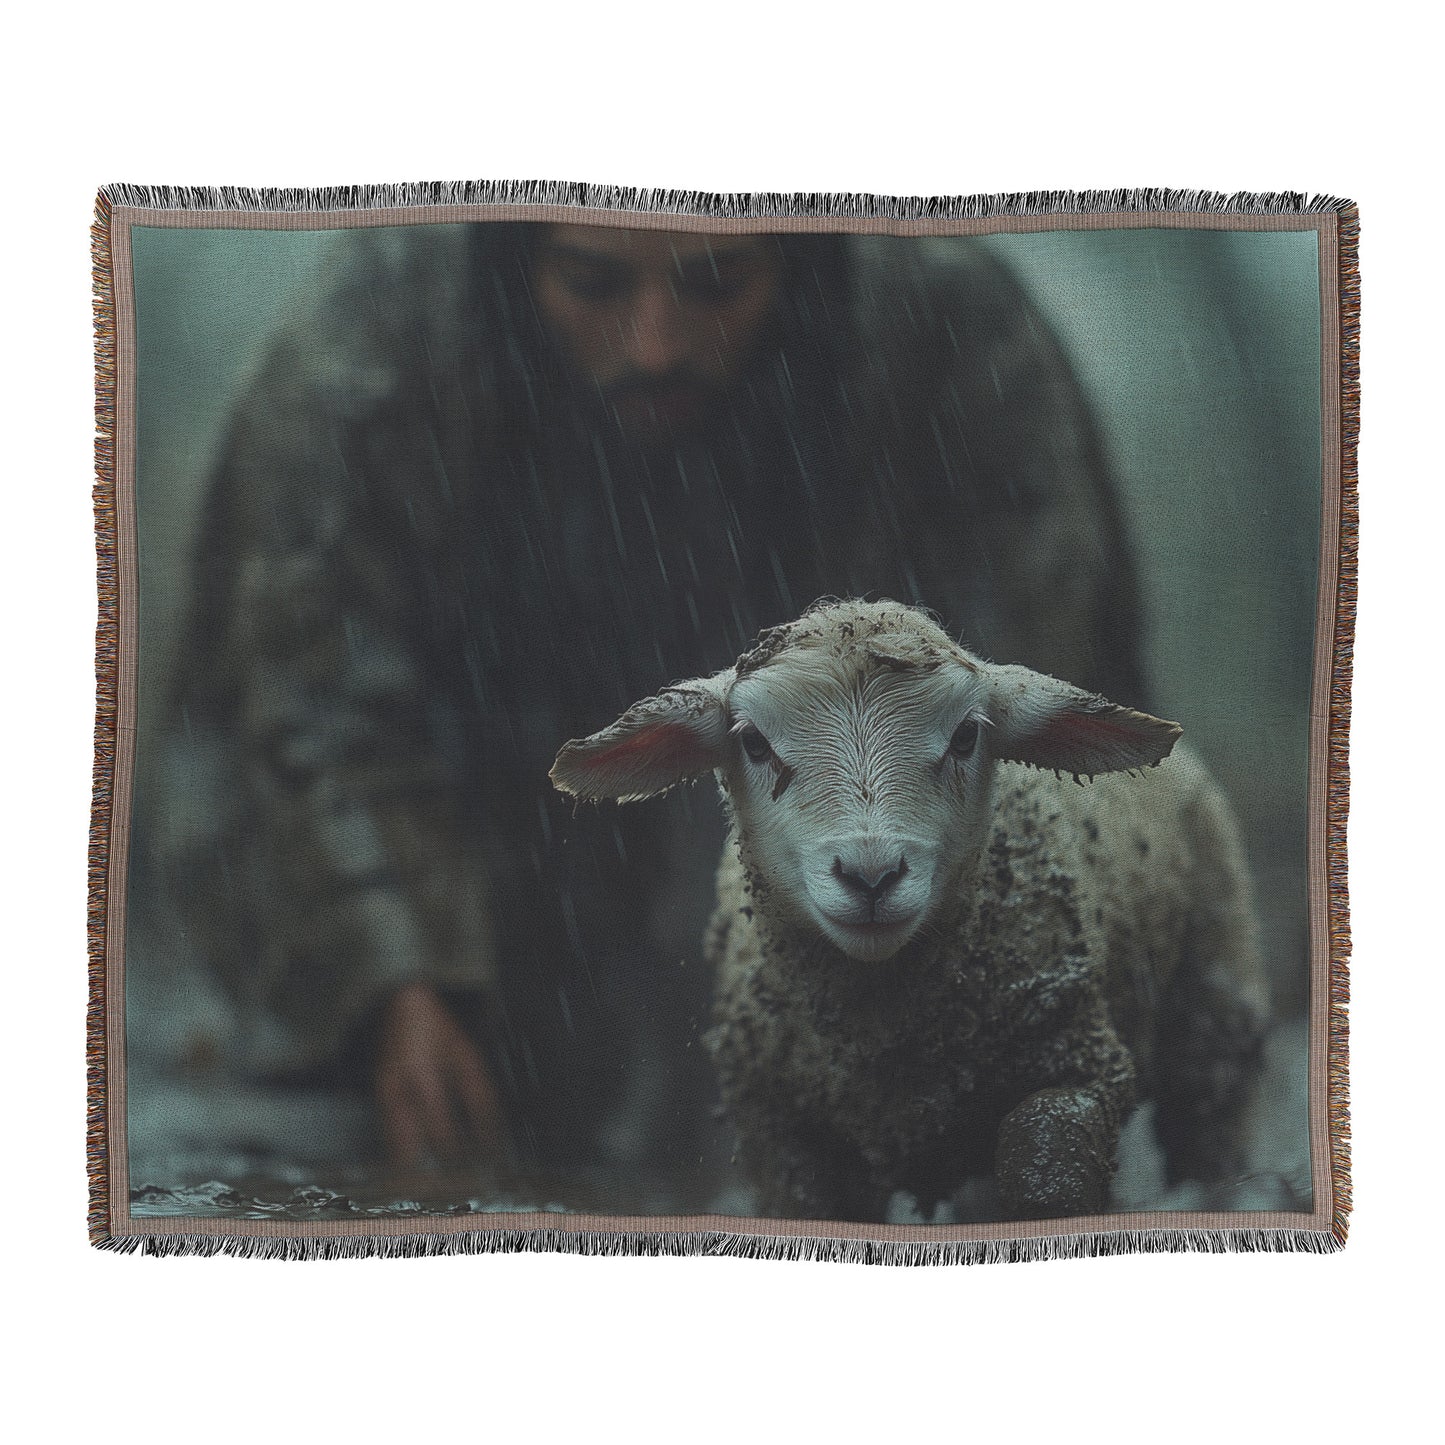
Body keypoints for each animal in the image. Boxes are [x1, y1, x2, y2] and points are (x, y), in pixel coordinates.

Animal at [549, 599, 1268, 1222]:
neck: (883, 1020)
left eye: (967, 736)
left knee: (1210, 1115)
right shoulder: (778, 1128)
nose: (871, 875)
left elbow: (1045, 1183)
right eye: (752, 742)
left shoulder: (1075, 1074)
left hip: (1212, 992)